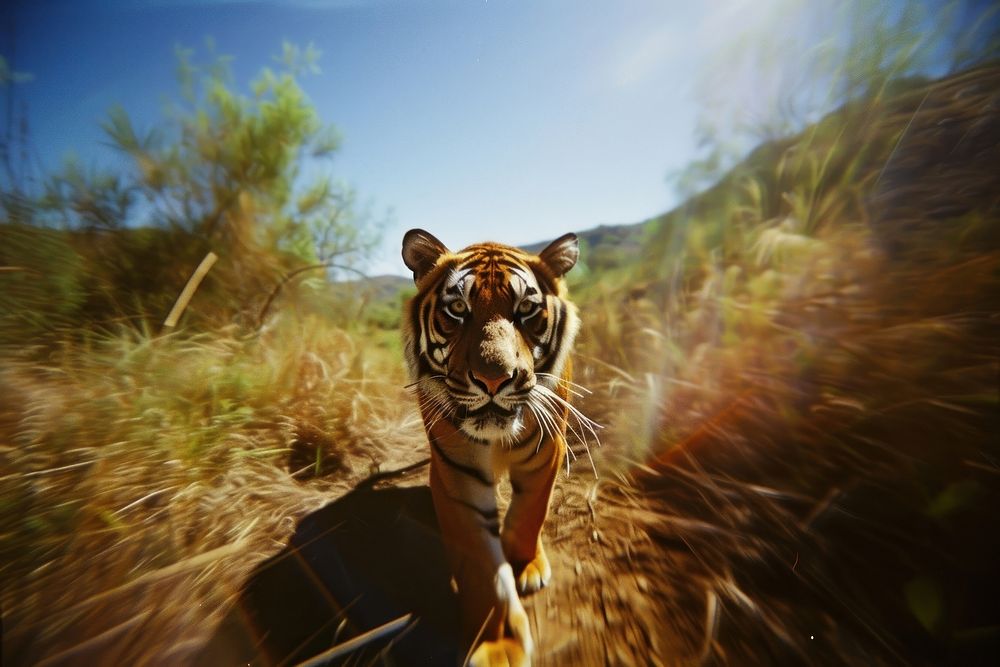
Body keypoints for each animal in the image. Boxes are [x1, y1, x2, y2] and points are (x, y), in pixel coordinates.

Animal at [401, 228, 582, 666]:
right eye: (457, 308)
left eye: (526, 310)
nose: (494, 379)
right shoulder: (456, 477)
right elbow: (483, 567)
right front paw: (498, 647)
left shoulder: (546, 454)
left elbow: (531, 512)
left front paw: (525, 563)